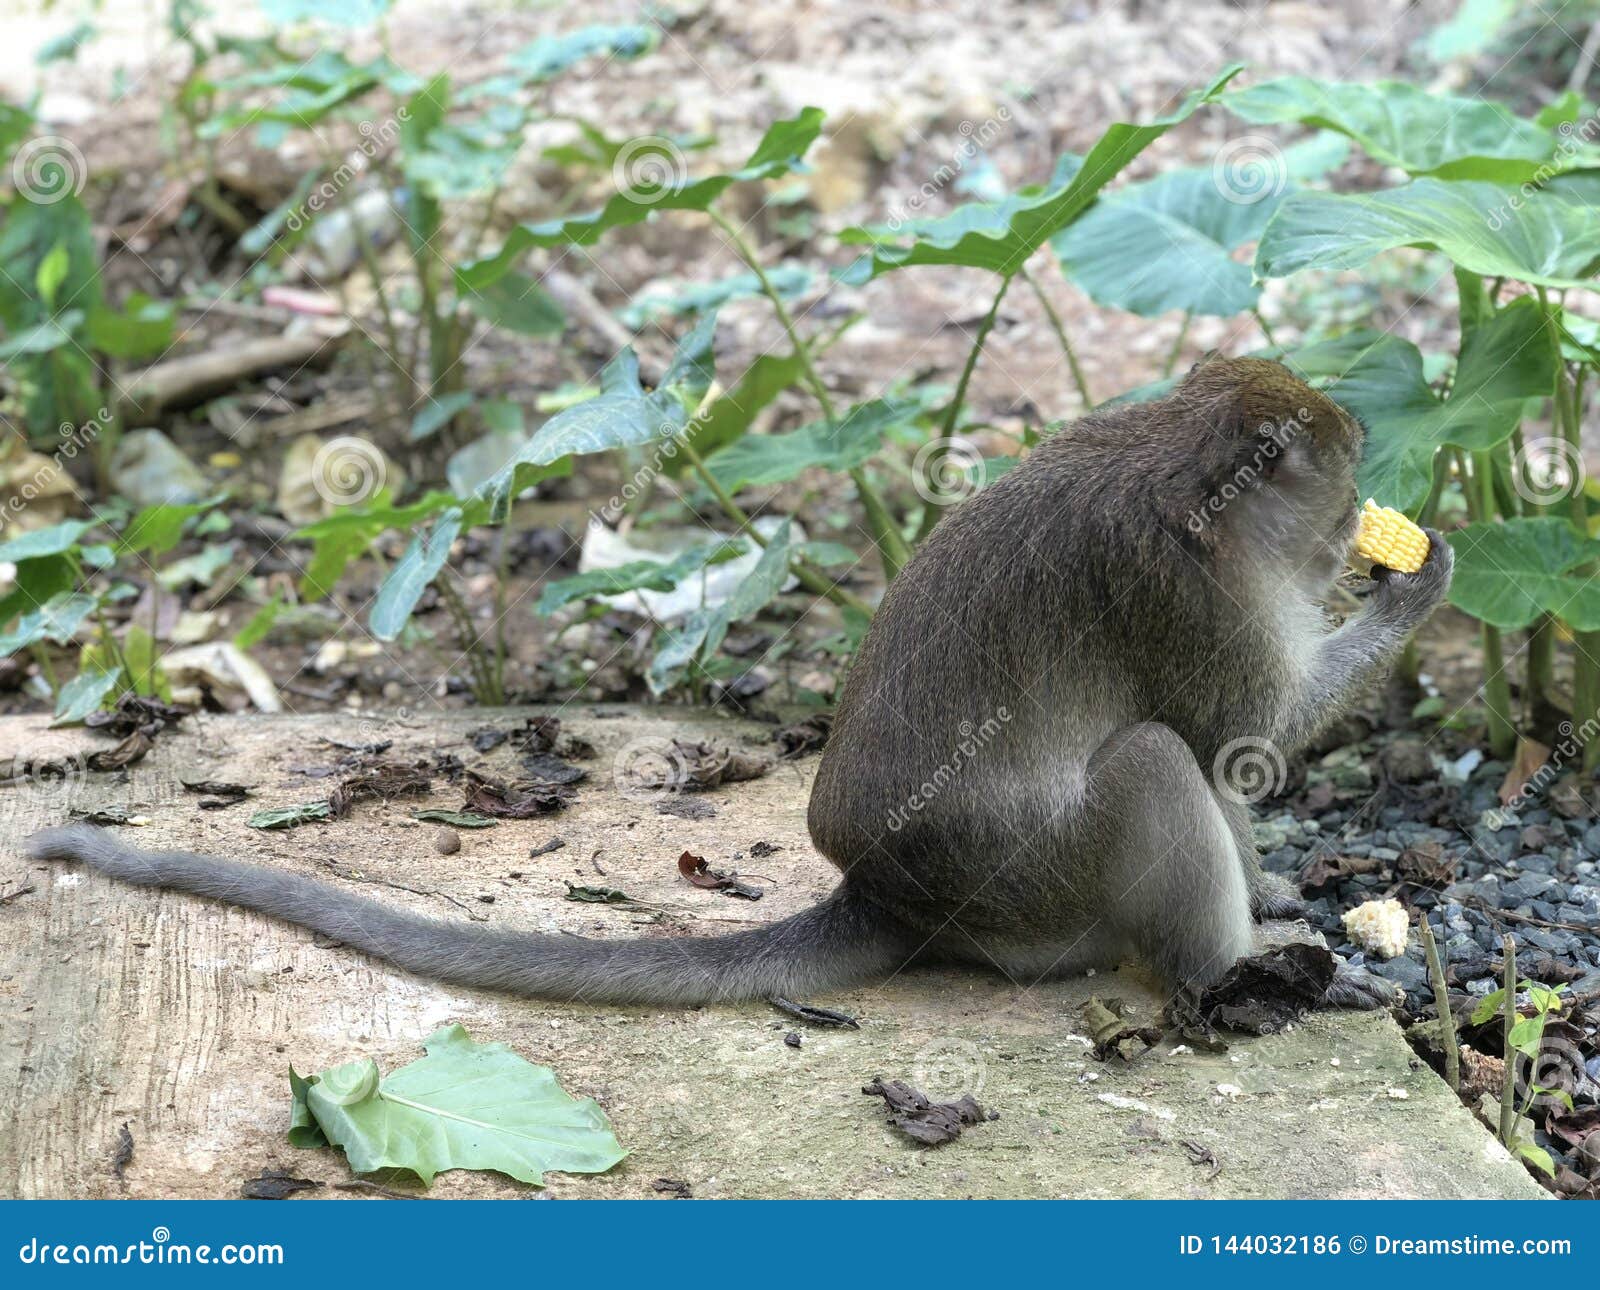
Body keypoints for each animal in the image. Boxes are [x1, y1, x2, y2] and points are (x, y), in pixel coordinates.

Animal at [28, 355, 1452, 1013]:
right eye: (1333, 470)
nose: (1364, 498)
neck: (1183, 468)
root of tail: (886, 897)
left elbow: (1239, 758)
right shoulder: (1191, 596)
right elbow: (1241, 737)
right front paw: (1416, 587)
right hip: (1040, 889)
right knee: (1156, 760)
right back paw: (1233, 973)